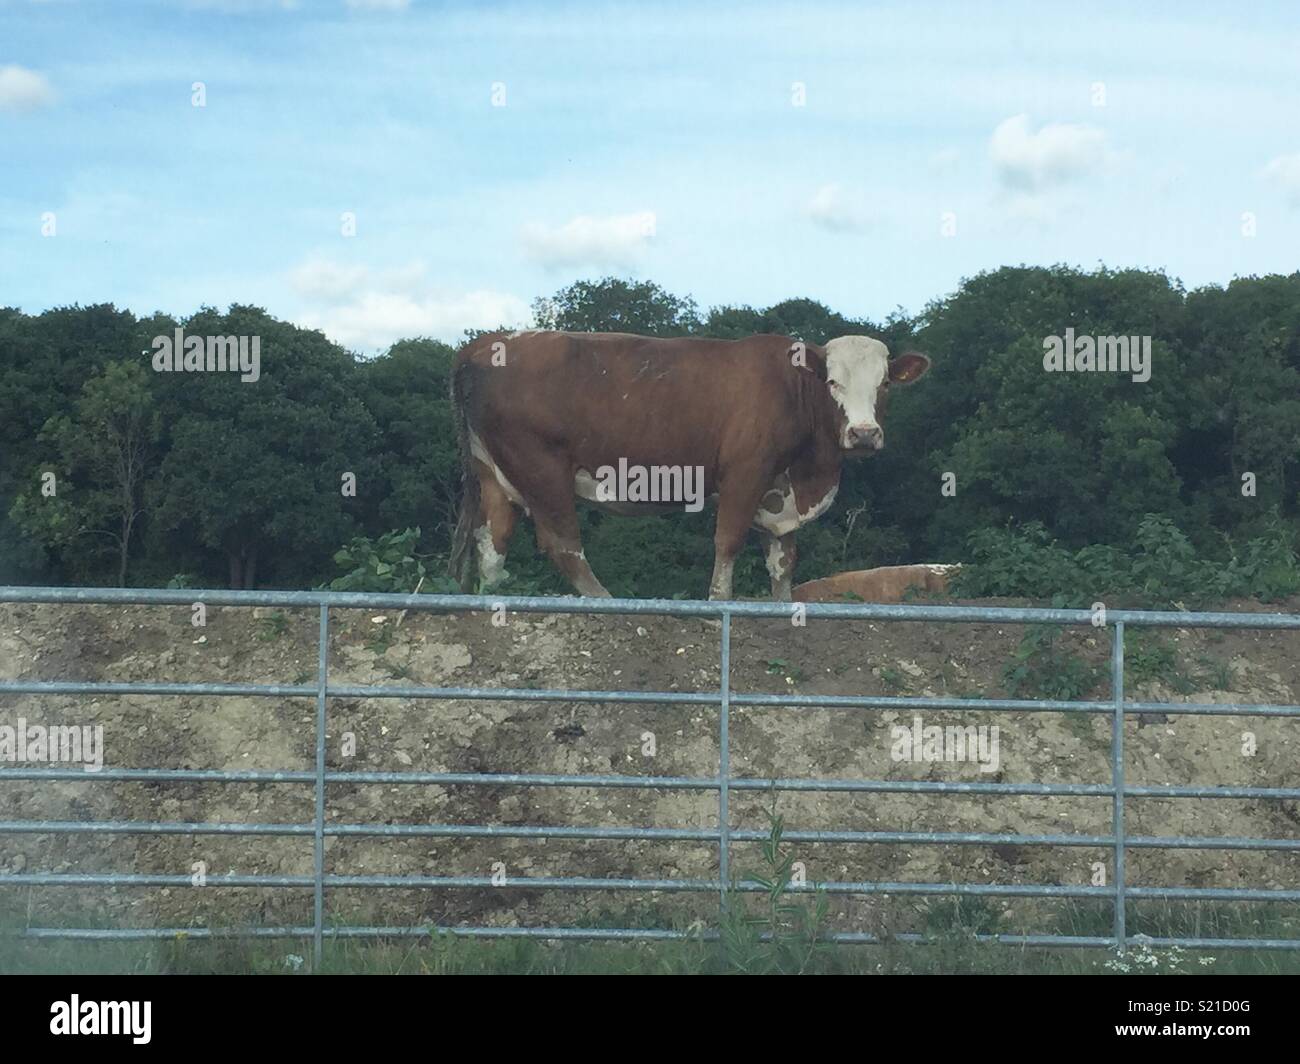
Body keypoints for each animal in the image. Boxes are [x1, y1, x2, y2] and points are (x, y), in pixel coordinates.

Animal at [447, 330, 929, 600]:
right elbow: (728, 542)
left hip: (494, 471)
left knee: (492, 539)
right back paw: (605, 597)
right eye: (832, 381)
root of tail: (482, 345)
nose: (864, 434)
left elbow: (782, 561)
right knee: (562, 543)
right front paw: (719, 600)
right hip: (541, 466)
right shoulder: (744, 472)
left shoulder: (778, 493)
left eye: (885, 384)